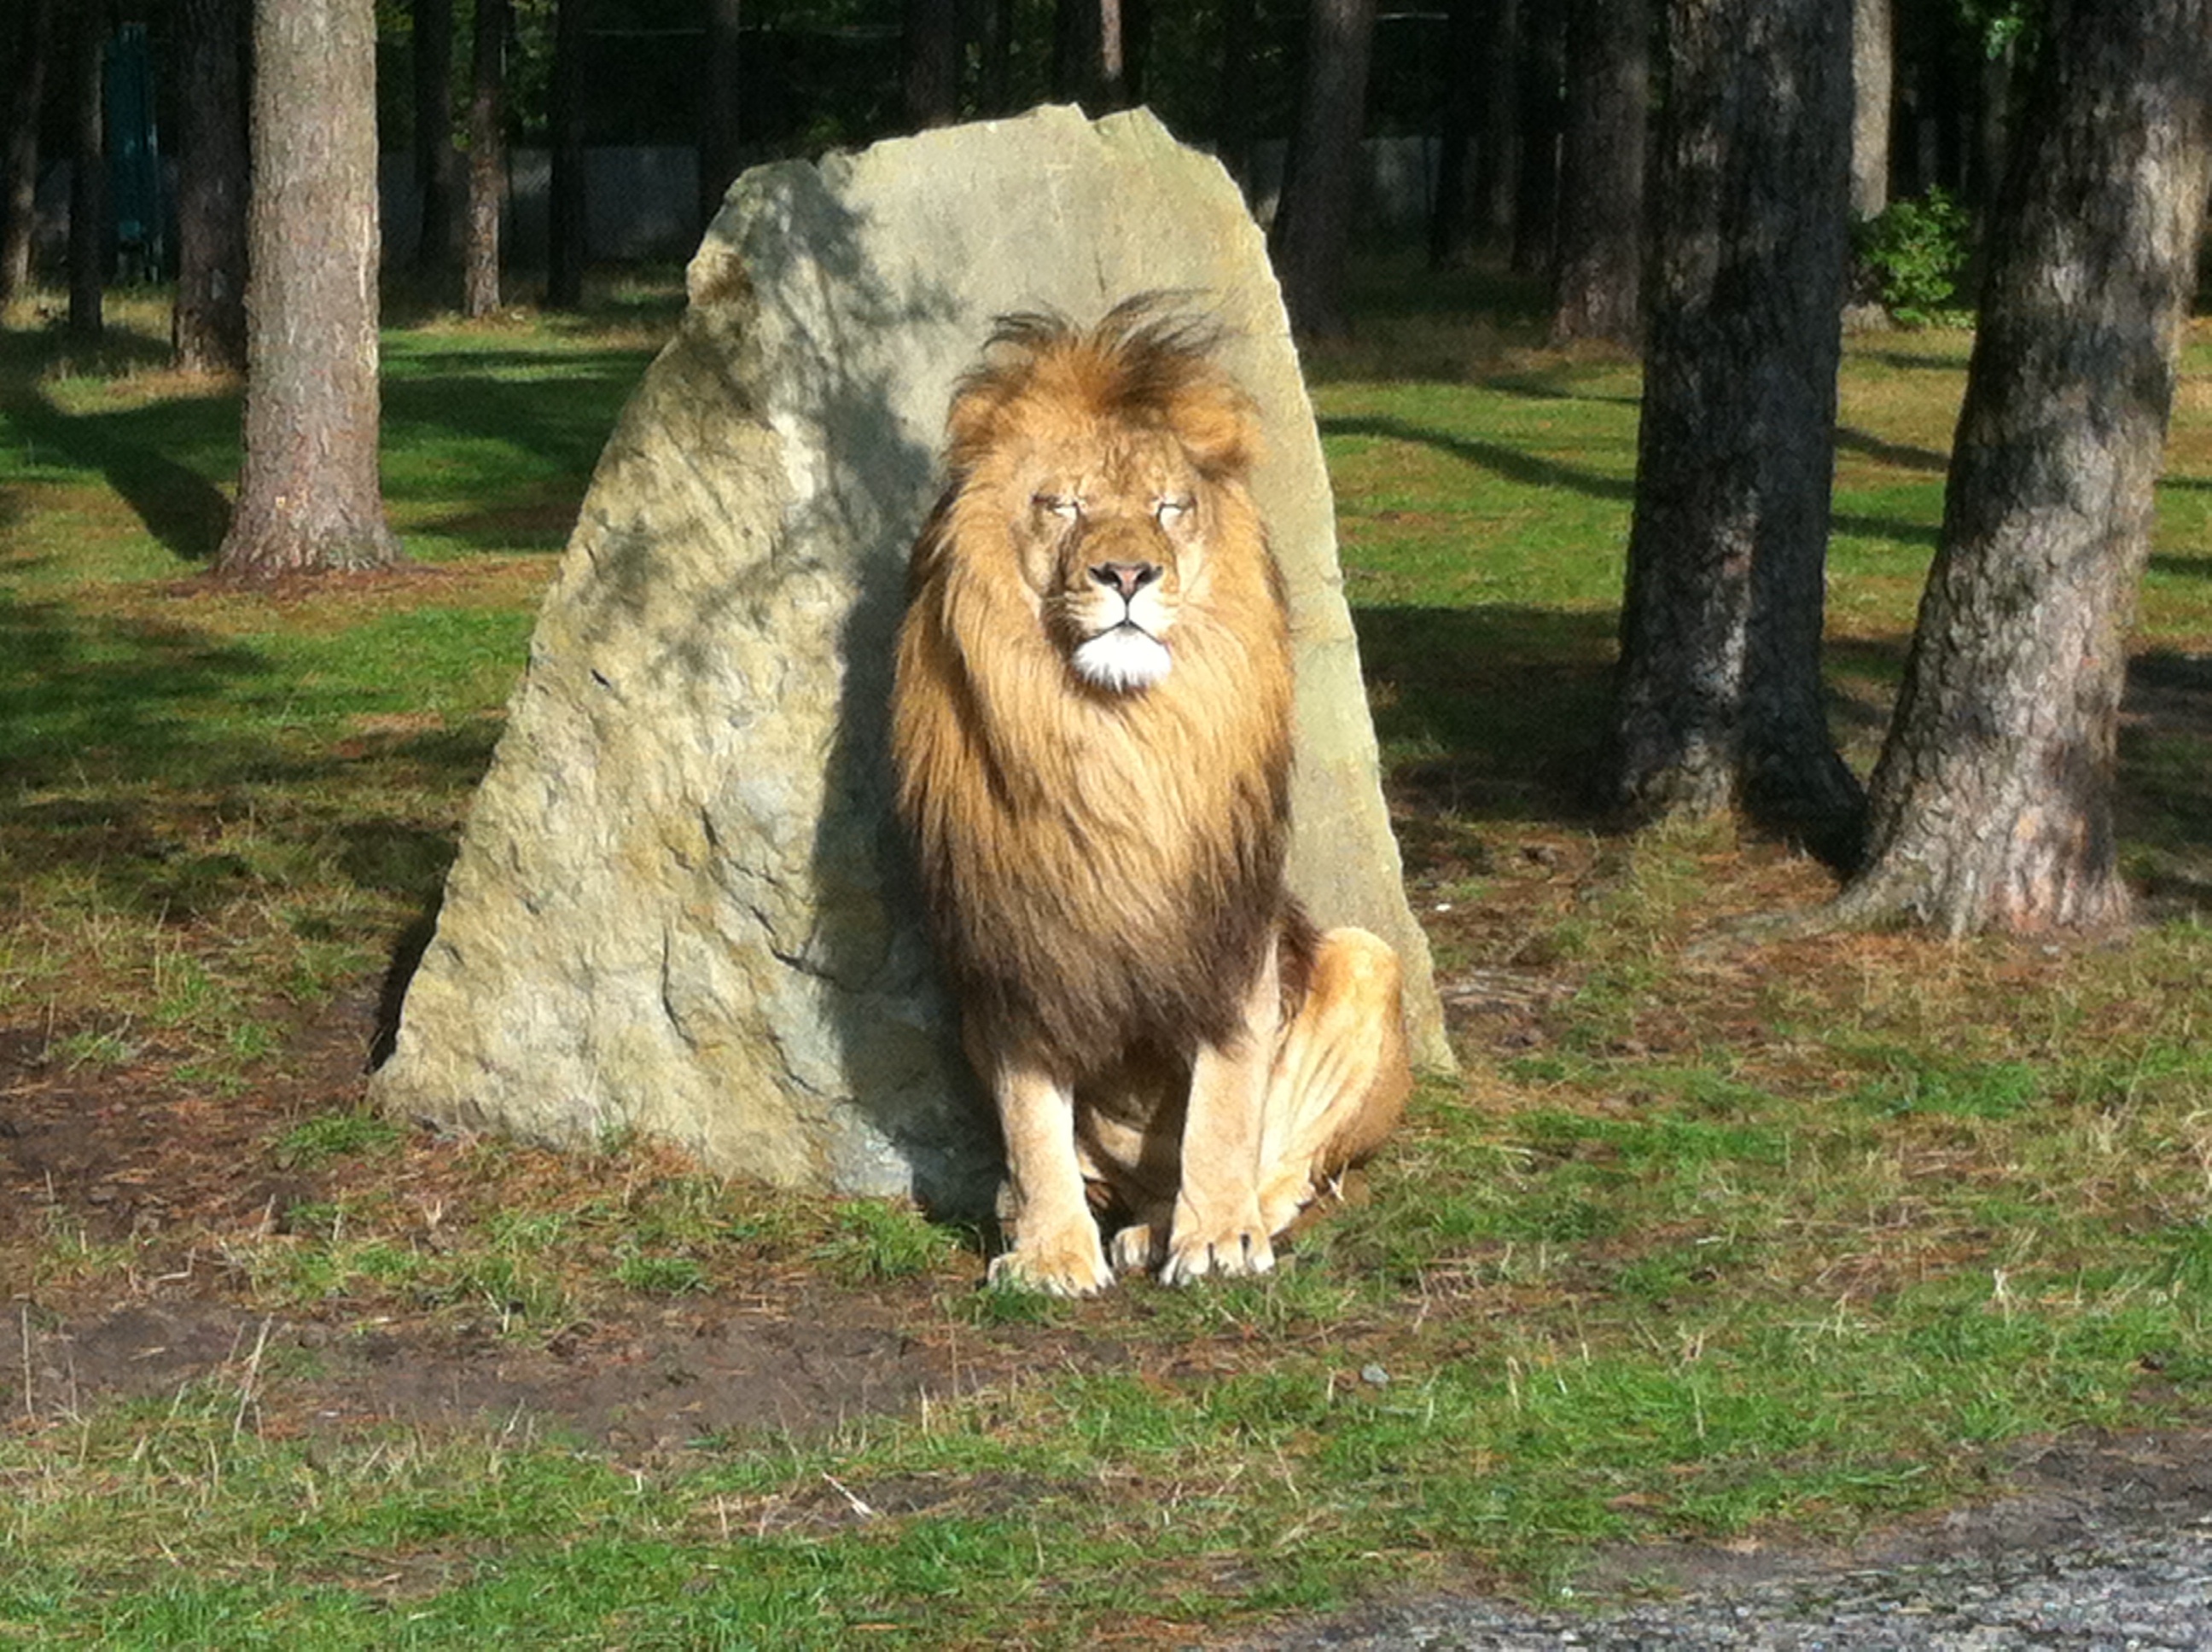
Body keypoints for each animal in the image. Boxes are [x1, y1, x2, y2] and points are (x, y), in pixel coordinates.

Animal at [889, 297, 1411, 1295]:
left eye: (1169, 508)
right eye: (1065, 504)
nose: (1128, 574)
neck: (1115, 742)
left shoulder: (1230, 937)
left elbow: (1224, 1107)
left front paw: (1216, 1239)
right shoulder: (1012, 955)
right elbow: (1032, 1121)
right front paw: (1052, 1252)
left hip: (1367, 958)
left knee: (1287, 1163)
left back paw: (1200, 1221)